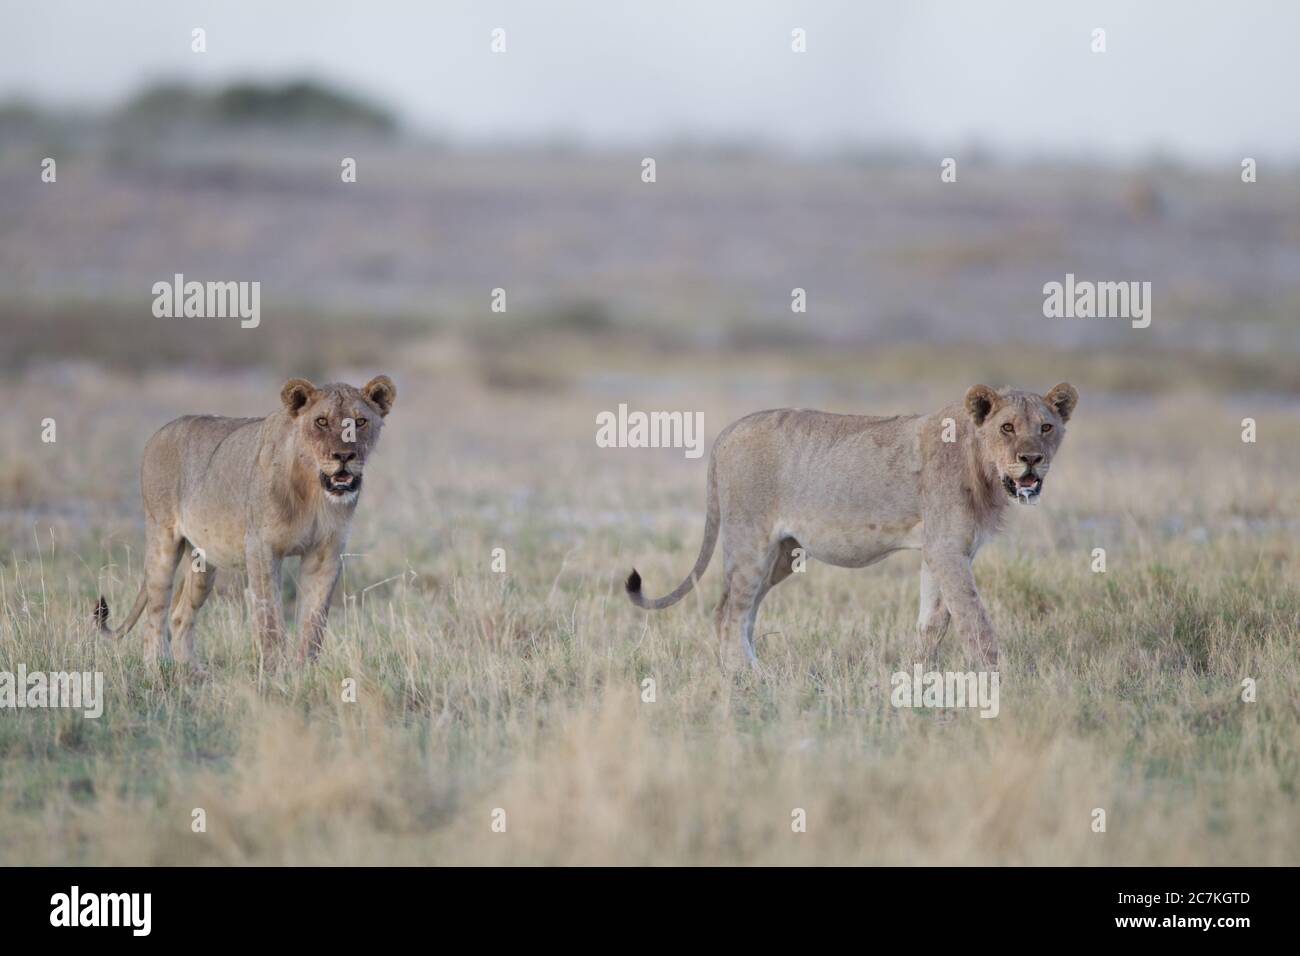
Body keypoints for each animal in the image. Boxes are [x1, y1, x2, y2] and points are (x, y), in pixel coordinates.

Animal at [94, 376, 397, 669]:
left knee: (181, 614)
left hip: (203, 562)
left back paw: (192, 673)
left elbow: (314, 622)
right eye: (321, 421)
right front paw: (276, 673)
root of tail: (160, 431)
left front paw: (304, 672)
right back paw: (157, 669)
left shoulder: (325, 553)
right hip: (162, 539)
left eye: (360, 421)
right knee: (155, 615)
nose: (344, 456)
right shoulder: (262, 547)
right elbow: (269, 618)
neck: (313, 493)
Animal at [625, 383, 1078, 667]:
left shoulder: (942, 550)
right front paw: (994, 682)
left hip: (782, 553)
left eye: (1046, 427)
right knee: (727, 613)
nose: (1032, 459)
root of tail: (728, 430)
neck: (983, 467)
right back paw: (748, 679)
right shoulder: (947, 548)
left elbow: (934, 622)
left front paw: (919, 676)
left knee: (745, 613)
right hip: (750, 541)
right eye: (1007, 427)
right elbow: (974, 620)